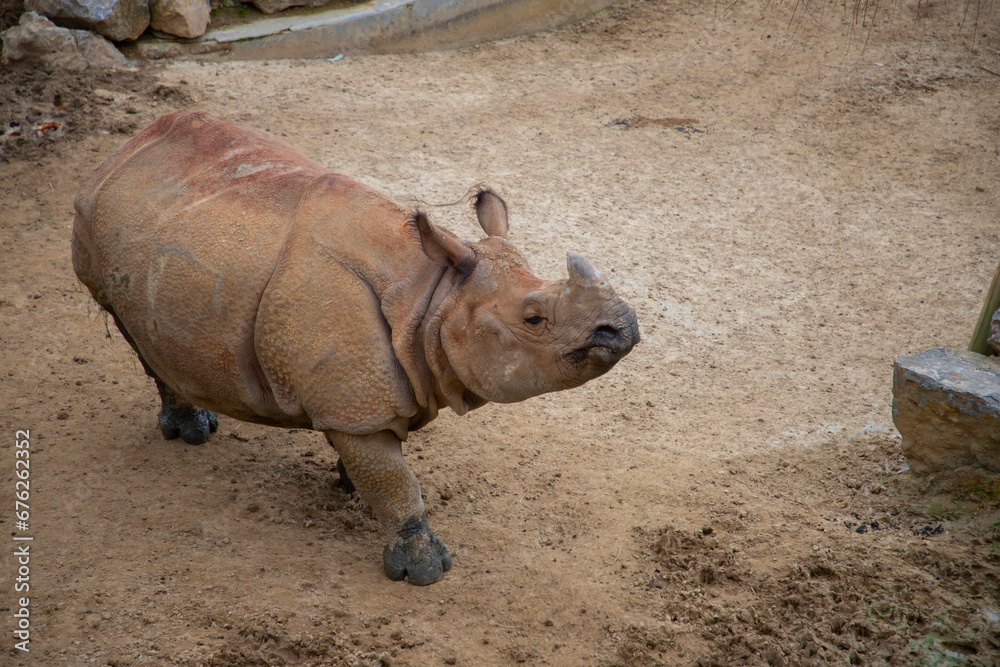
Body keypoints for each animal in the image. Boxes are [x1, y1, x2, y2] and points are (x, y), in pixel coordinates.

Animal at [72, 111, 639, 585]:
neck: (430, 299)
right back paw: (191, 433)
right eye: (533, 319)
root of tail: (123, 151)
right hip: (91, 231)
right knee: (129, 328)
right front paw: (423, 571)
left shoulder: (366, 392)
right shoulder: (356, 403)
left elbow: (378, 463)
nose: (625, 327)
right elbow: (396, 482)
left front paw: (348, 483)